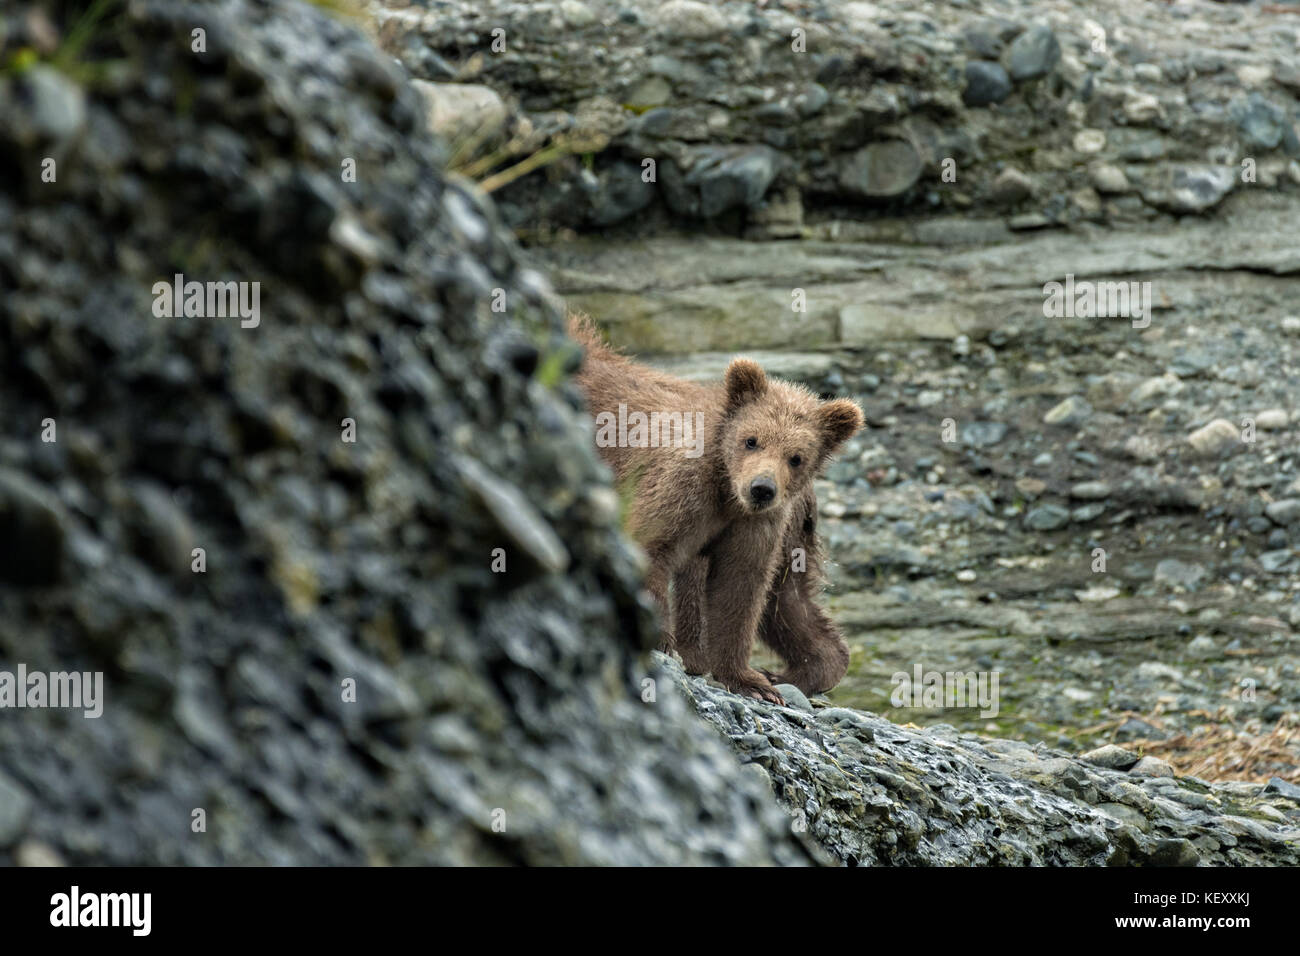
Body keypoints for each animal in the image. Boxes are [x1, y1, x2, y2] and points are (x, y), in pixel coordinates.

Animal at [568, 314, 862, 705]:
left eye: (796, 457)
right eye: (752, 440)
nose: (762, 488)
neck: (726, 493)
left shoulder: (755, 525)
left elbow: (738, 588)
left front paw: (749, 680)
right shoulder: (681, 491)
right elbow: (651, 547)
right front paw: (660, 639)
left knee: (787, 601)